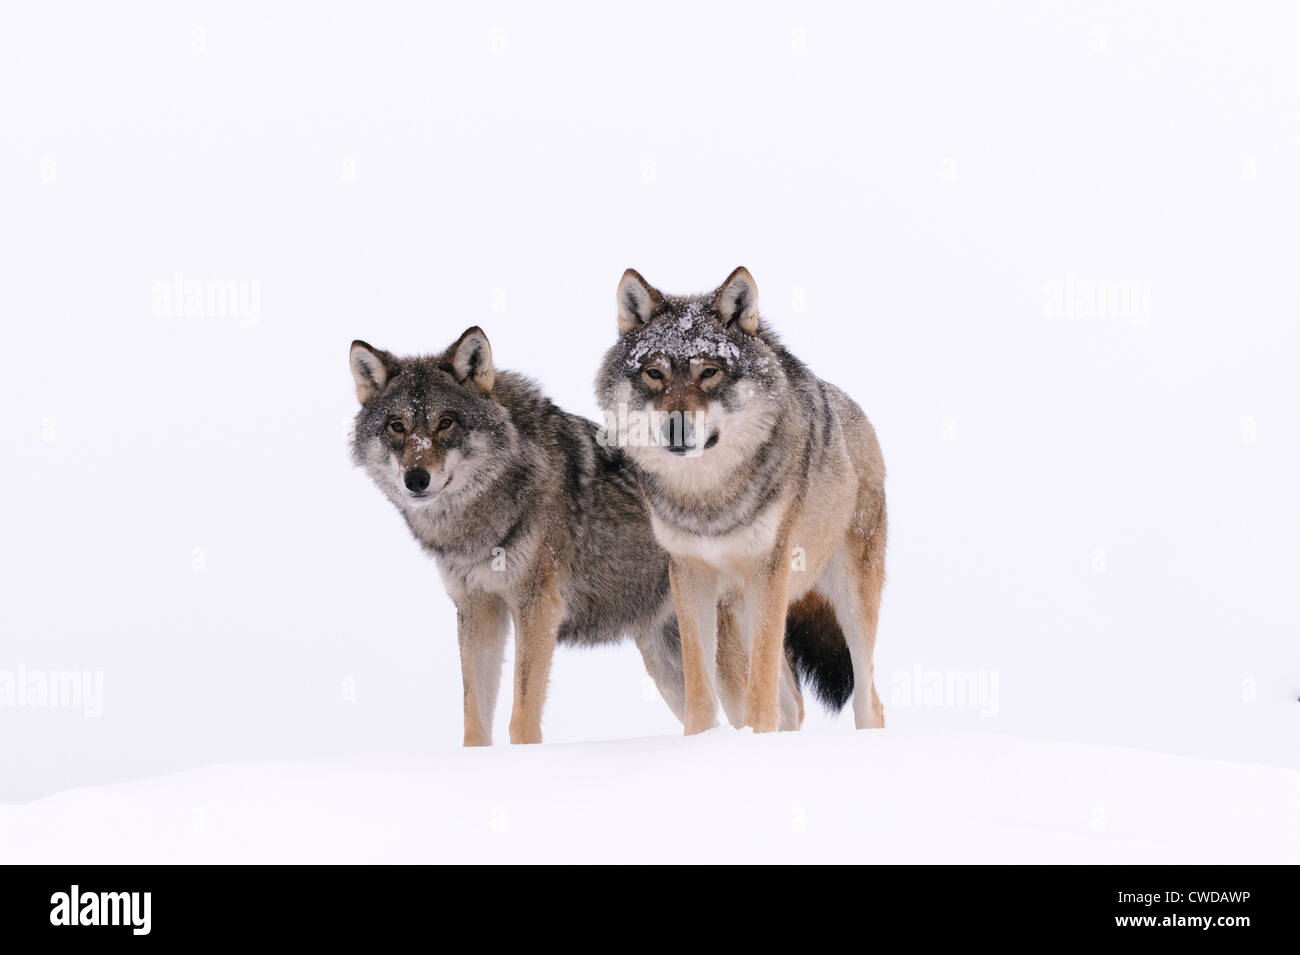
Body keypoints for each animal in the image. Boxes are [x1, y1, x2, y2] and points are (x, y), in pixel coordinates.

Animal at [596, 267, 887, 735]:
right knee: (792, 705)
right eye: (655, 373)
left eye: (710, 372)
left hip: (848, 600)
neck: (708, 499)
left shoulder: (766, 572)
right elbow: (700, 685)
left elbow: (761, 688)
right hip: (736, 615)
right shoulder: (689, 575)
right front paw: (699, 739)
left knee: (867, 700)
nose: (676, 428)